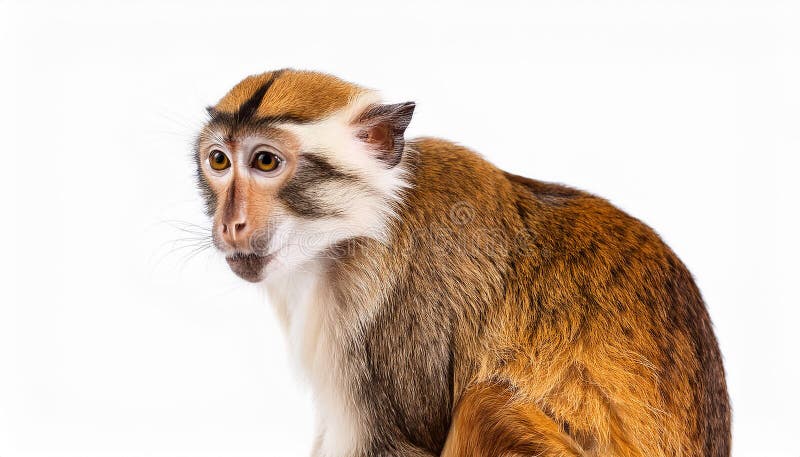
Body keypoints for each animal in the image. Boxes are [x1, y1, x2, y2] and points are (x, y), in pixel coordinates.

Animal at [193, 69, 730, 457]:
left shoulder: (390, 304)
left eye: (265, 162)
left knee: (487, 407)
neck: (363, 227)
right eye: (219, 161)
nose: (231, 223)